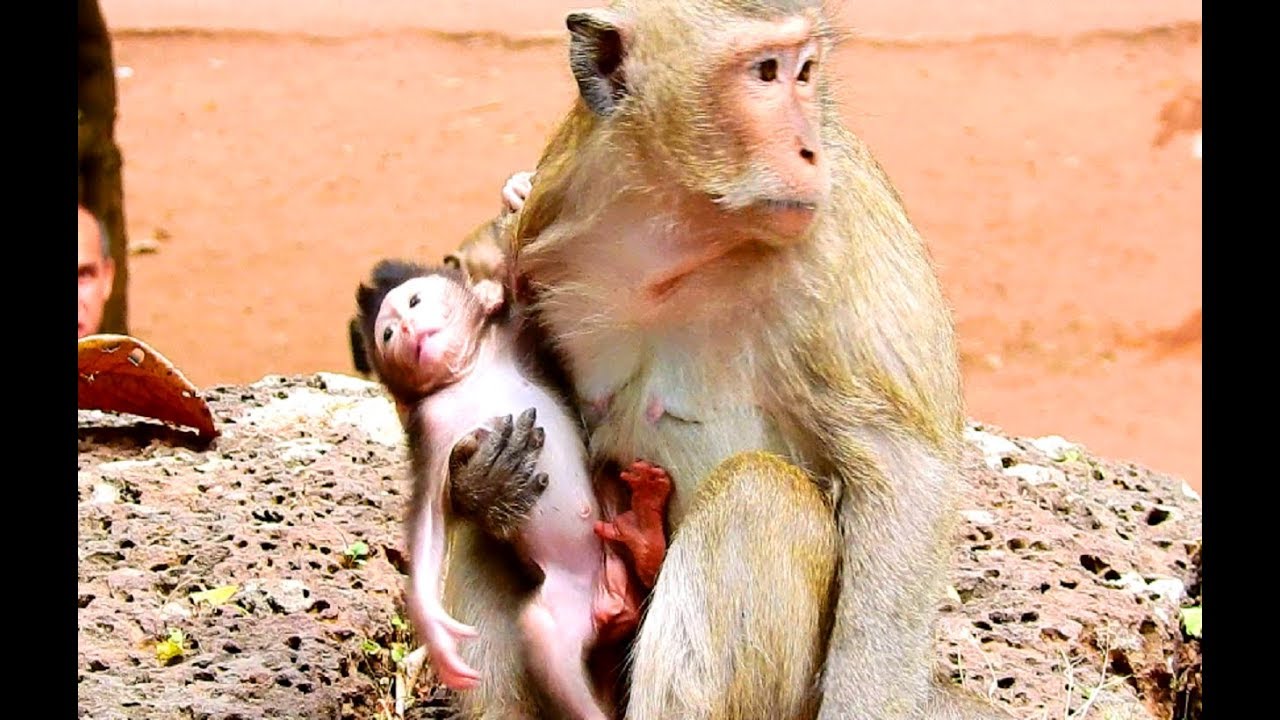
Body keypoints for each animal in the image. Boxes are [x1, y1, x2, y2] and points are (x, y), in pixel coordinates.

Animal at [353, 260, 672, 719]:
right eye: (388, 335)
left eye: (413, 302)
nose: (409, 329)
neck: (469, 375)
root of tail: (611, 602)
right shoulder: (428, 429)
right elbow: (429, 518)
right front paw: (435, 630)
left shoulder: (517, 341)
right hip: (563, 607)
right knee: (544, 636)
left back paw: (643, 531)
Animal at [437, 1, 1013, 718]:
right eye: (766, 72)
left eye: (805, 71)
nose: (808, 149)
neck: (676, 232)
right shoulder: (544, 220)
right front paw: (487, 481)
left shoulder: (841, 229)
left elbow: (904, 470)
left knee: (757, 495)